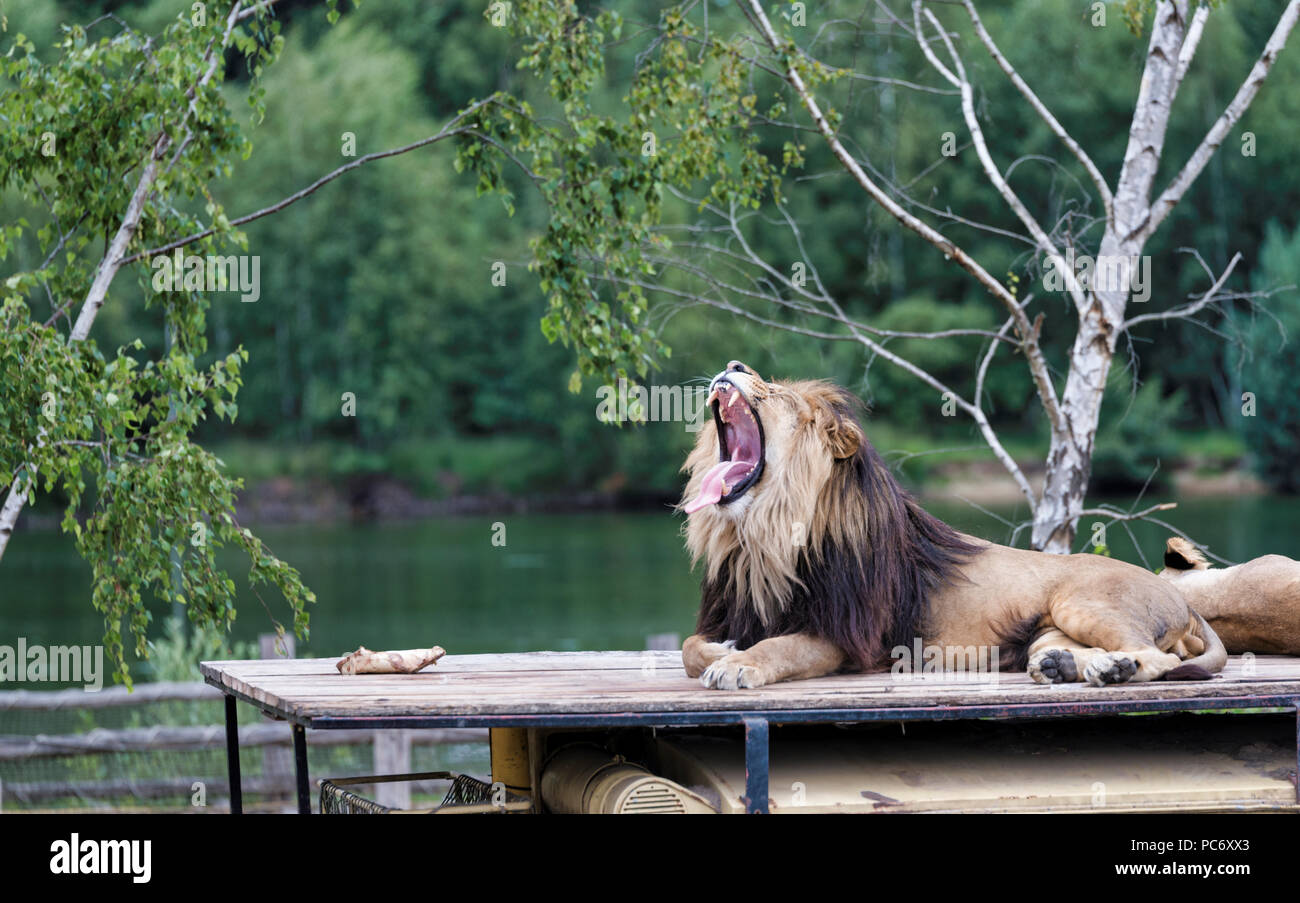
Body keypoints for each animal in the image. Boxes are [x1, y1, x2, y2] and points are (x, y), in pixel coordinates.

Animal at [678, 361, 1226, 690]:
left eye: (779, 396)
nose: (733, 367)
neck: (759, 540)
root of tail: (1182, 599)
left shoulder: (848, 637)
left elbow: (782, 645)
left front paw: (739, 664)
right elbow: (688, 647)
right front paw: (721, 650)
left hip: (1083, 602)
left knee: (1161, 659)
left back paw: (1116, 669)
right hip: (1046, 631)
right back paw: (1071, 666)